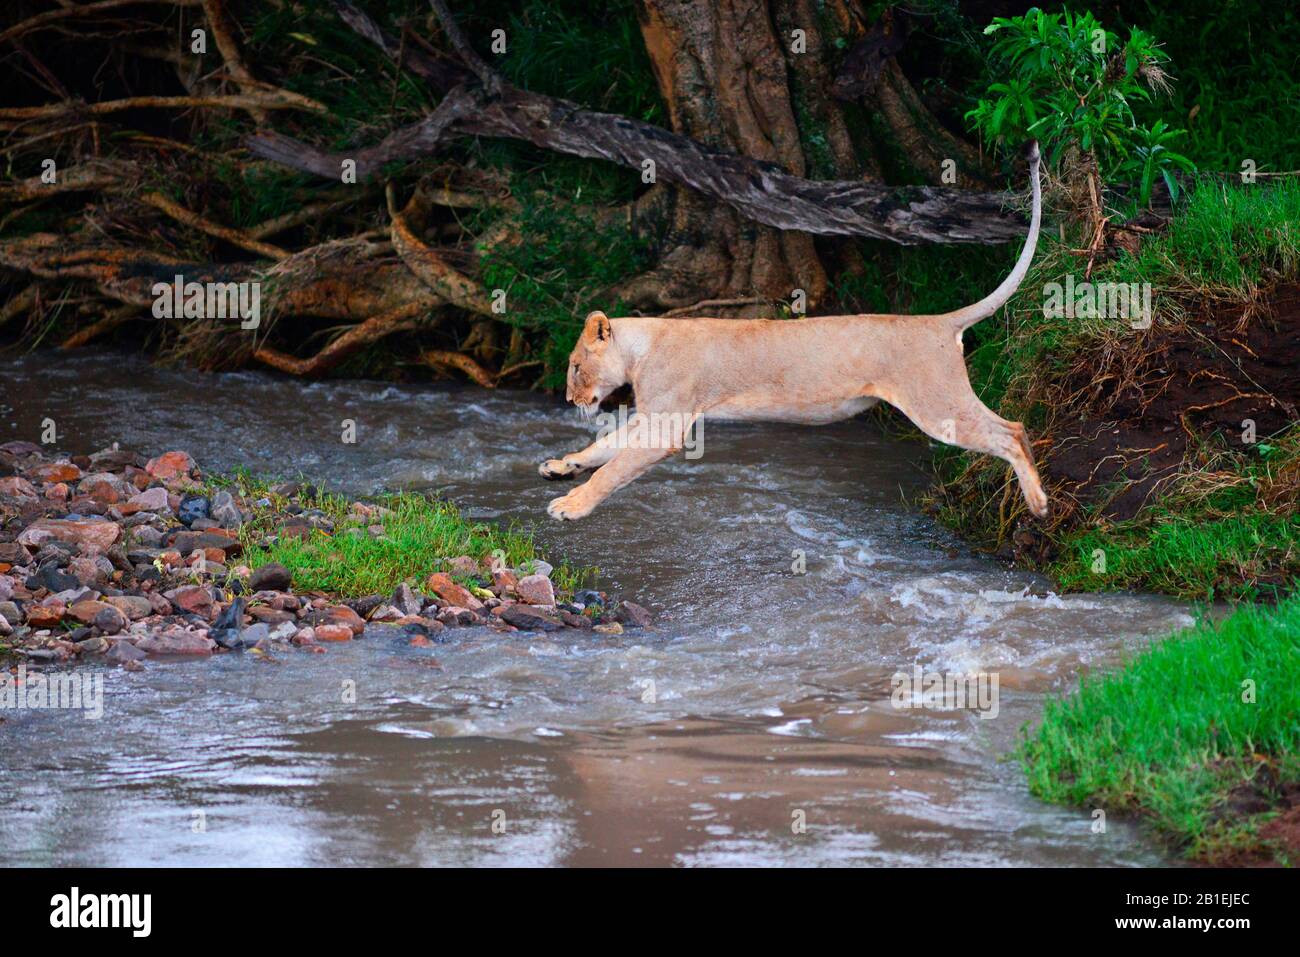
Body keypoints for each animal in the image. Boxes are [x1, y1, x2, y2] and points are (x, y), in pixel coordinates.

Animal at [539, 143, 1045, 522]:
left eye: (575, 366)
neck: (642, 345)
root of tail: (939, 320)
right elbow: (605, 445)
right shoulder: (651, 415)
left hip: (937, 404)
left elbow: (613, 468)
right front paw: (562, 466)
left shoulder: (666, 422)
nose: (568, 399)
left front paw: (569, 505)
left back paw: (1039, 504)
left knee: (1011, 431)